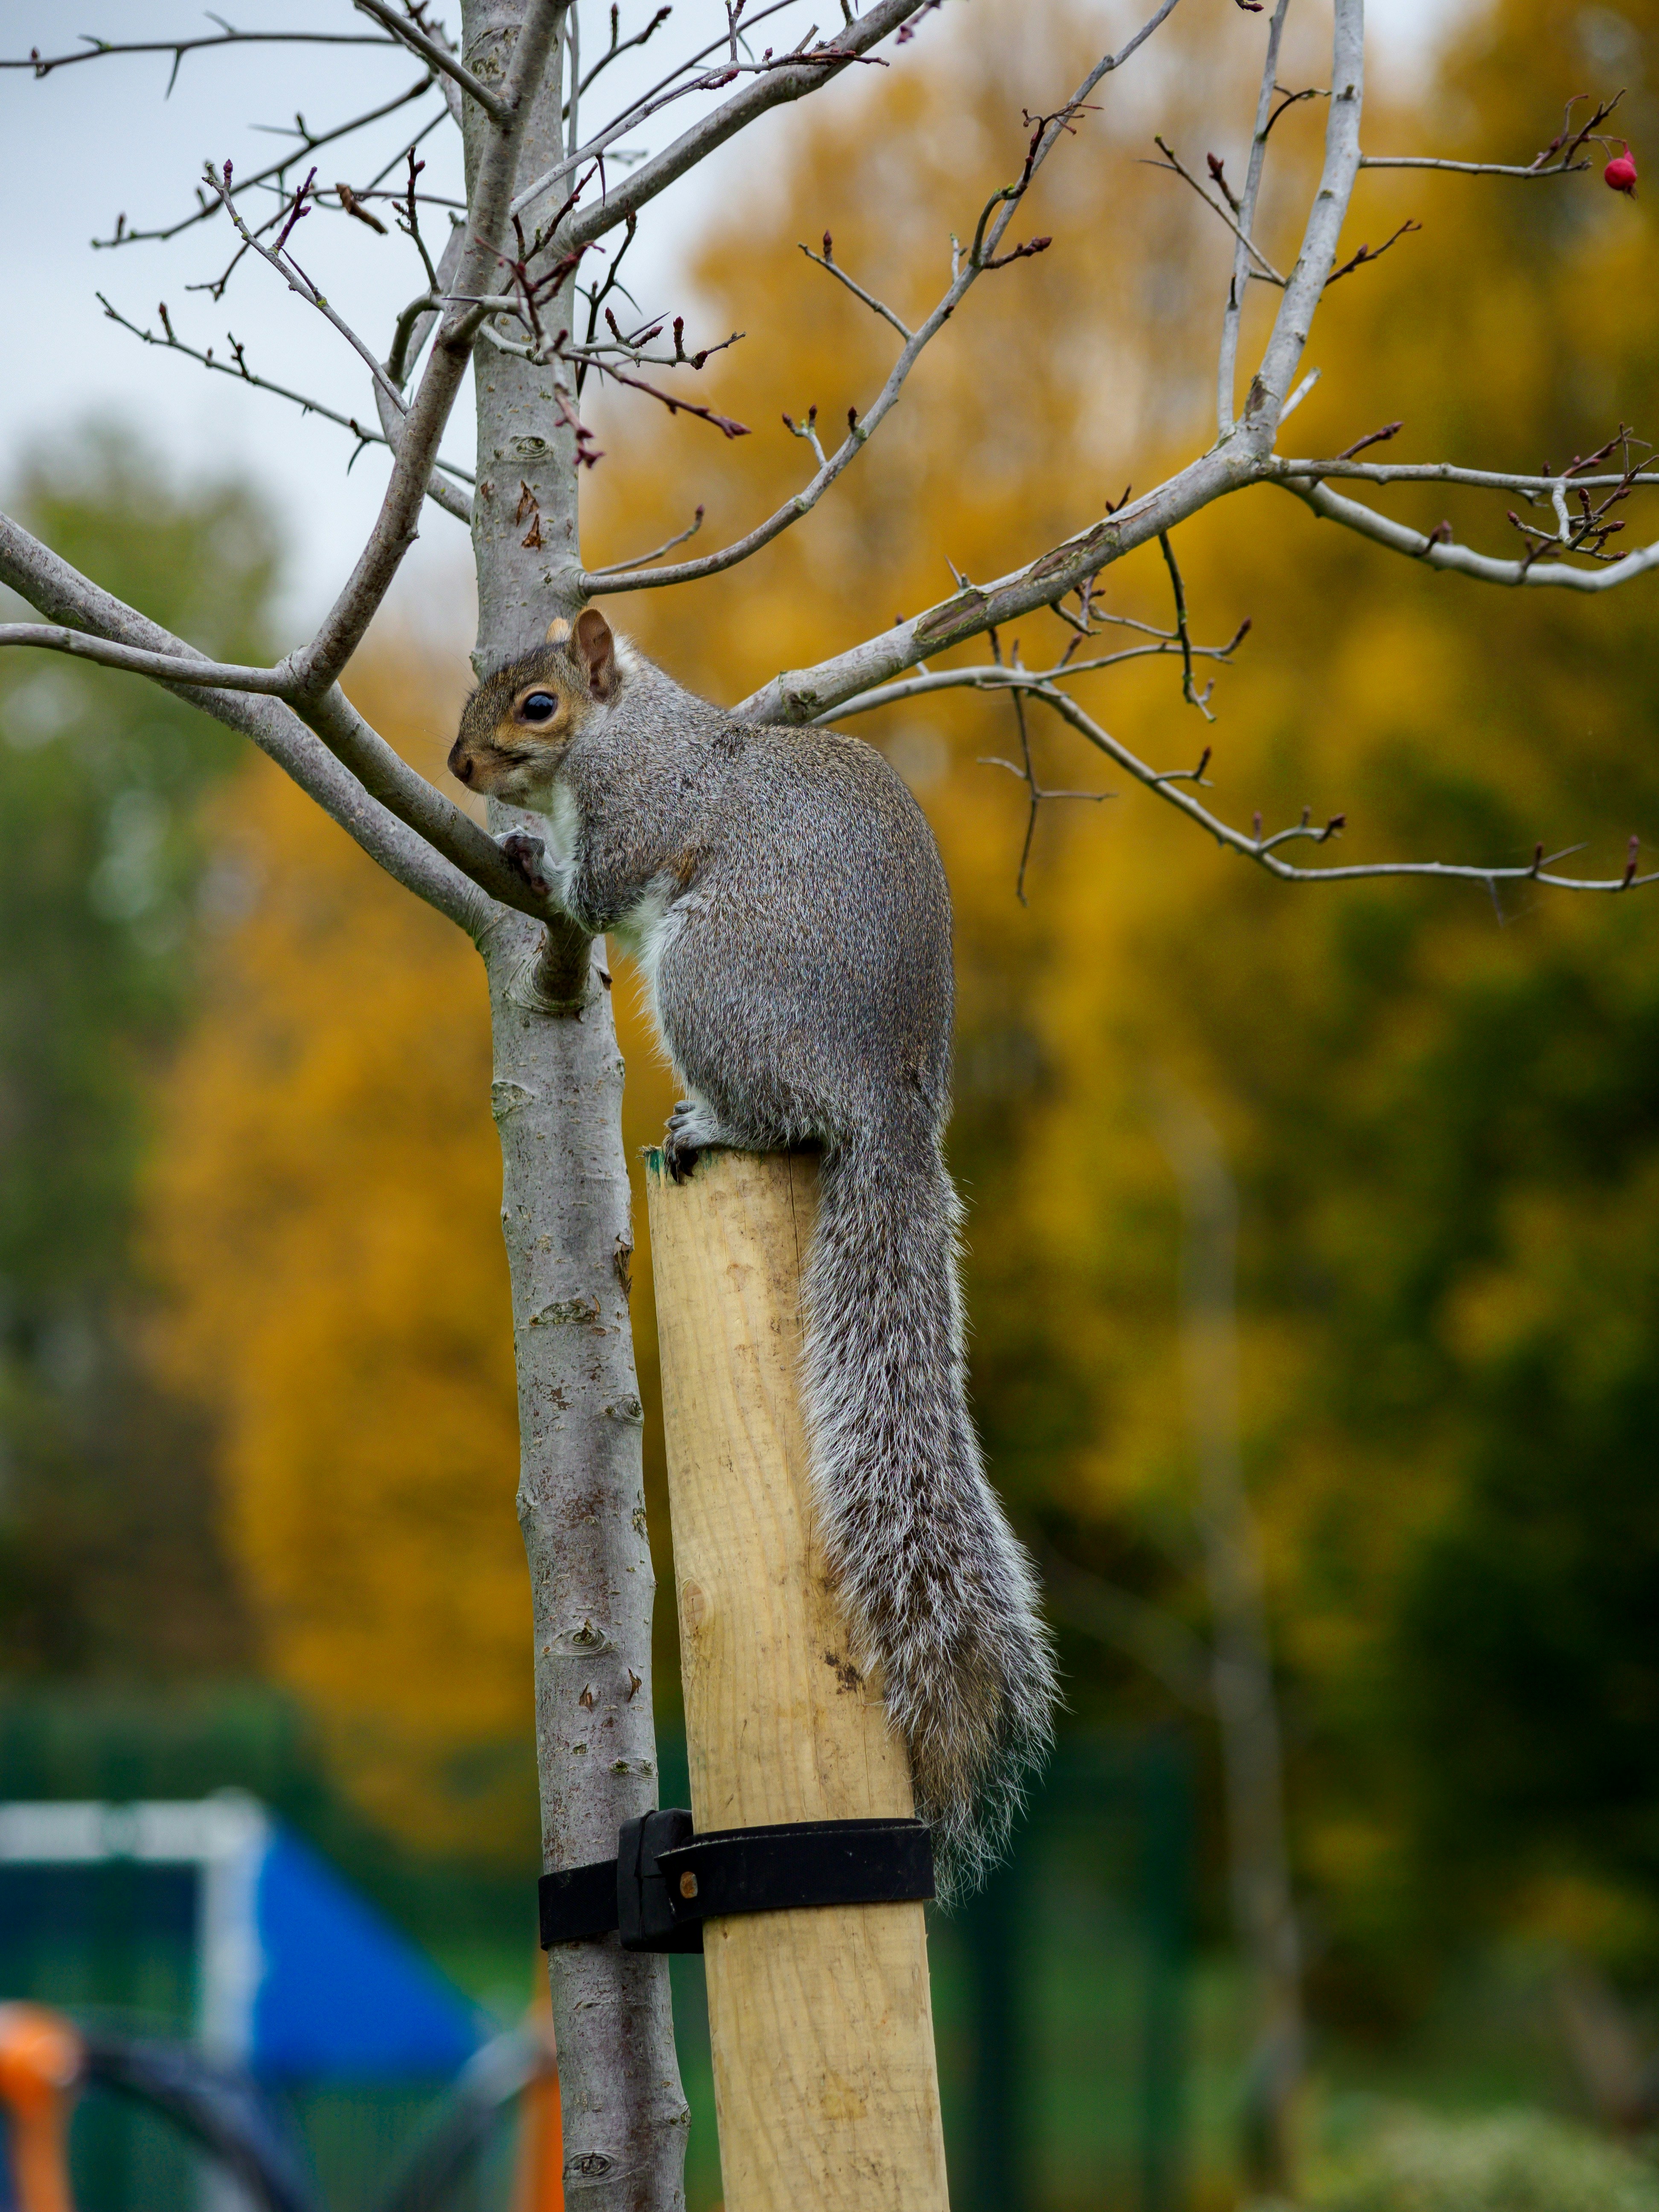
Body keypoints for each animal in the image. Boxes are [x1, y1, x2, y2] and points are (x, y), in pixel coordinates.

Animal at [450, 607, 1058, 1901]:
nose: (461, 766)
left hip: (714, 982)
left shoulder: (638, 813)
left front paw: (531, 858)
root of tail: (891, 1101)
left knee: (772, 1117)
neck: (629, 727)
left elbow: (599, 884)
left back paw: (711, 1124)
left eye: (537, 706)